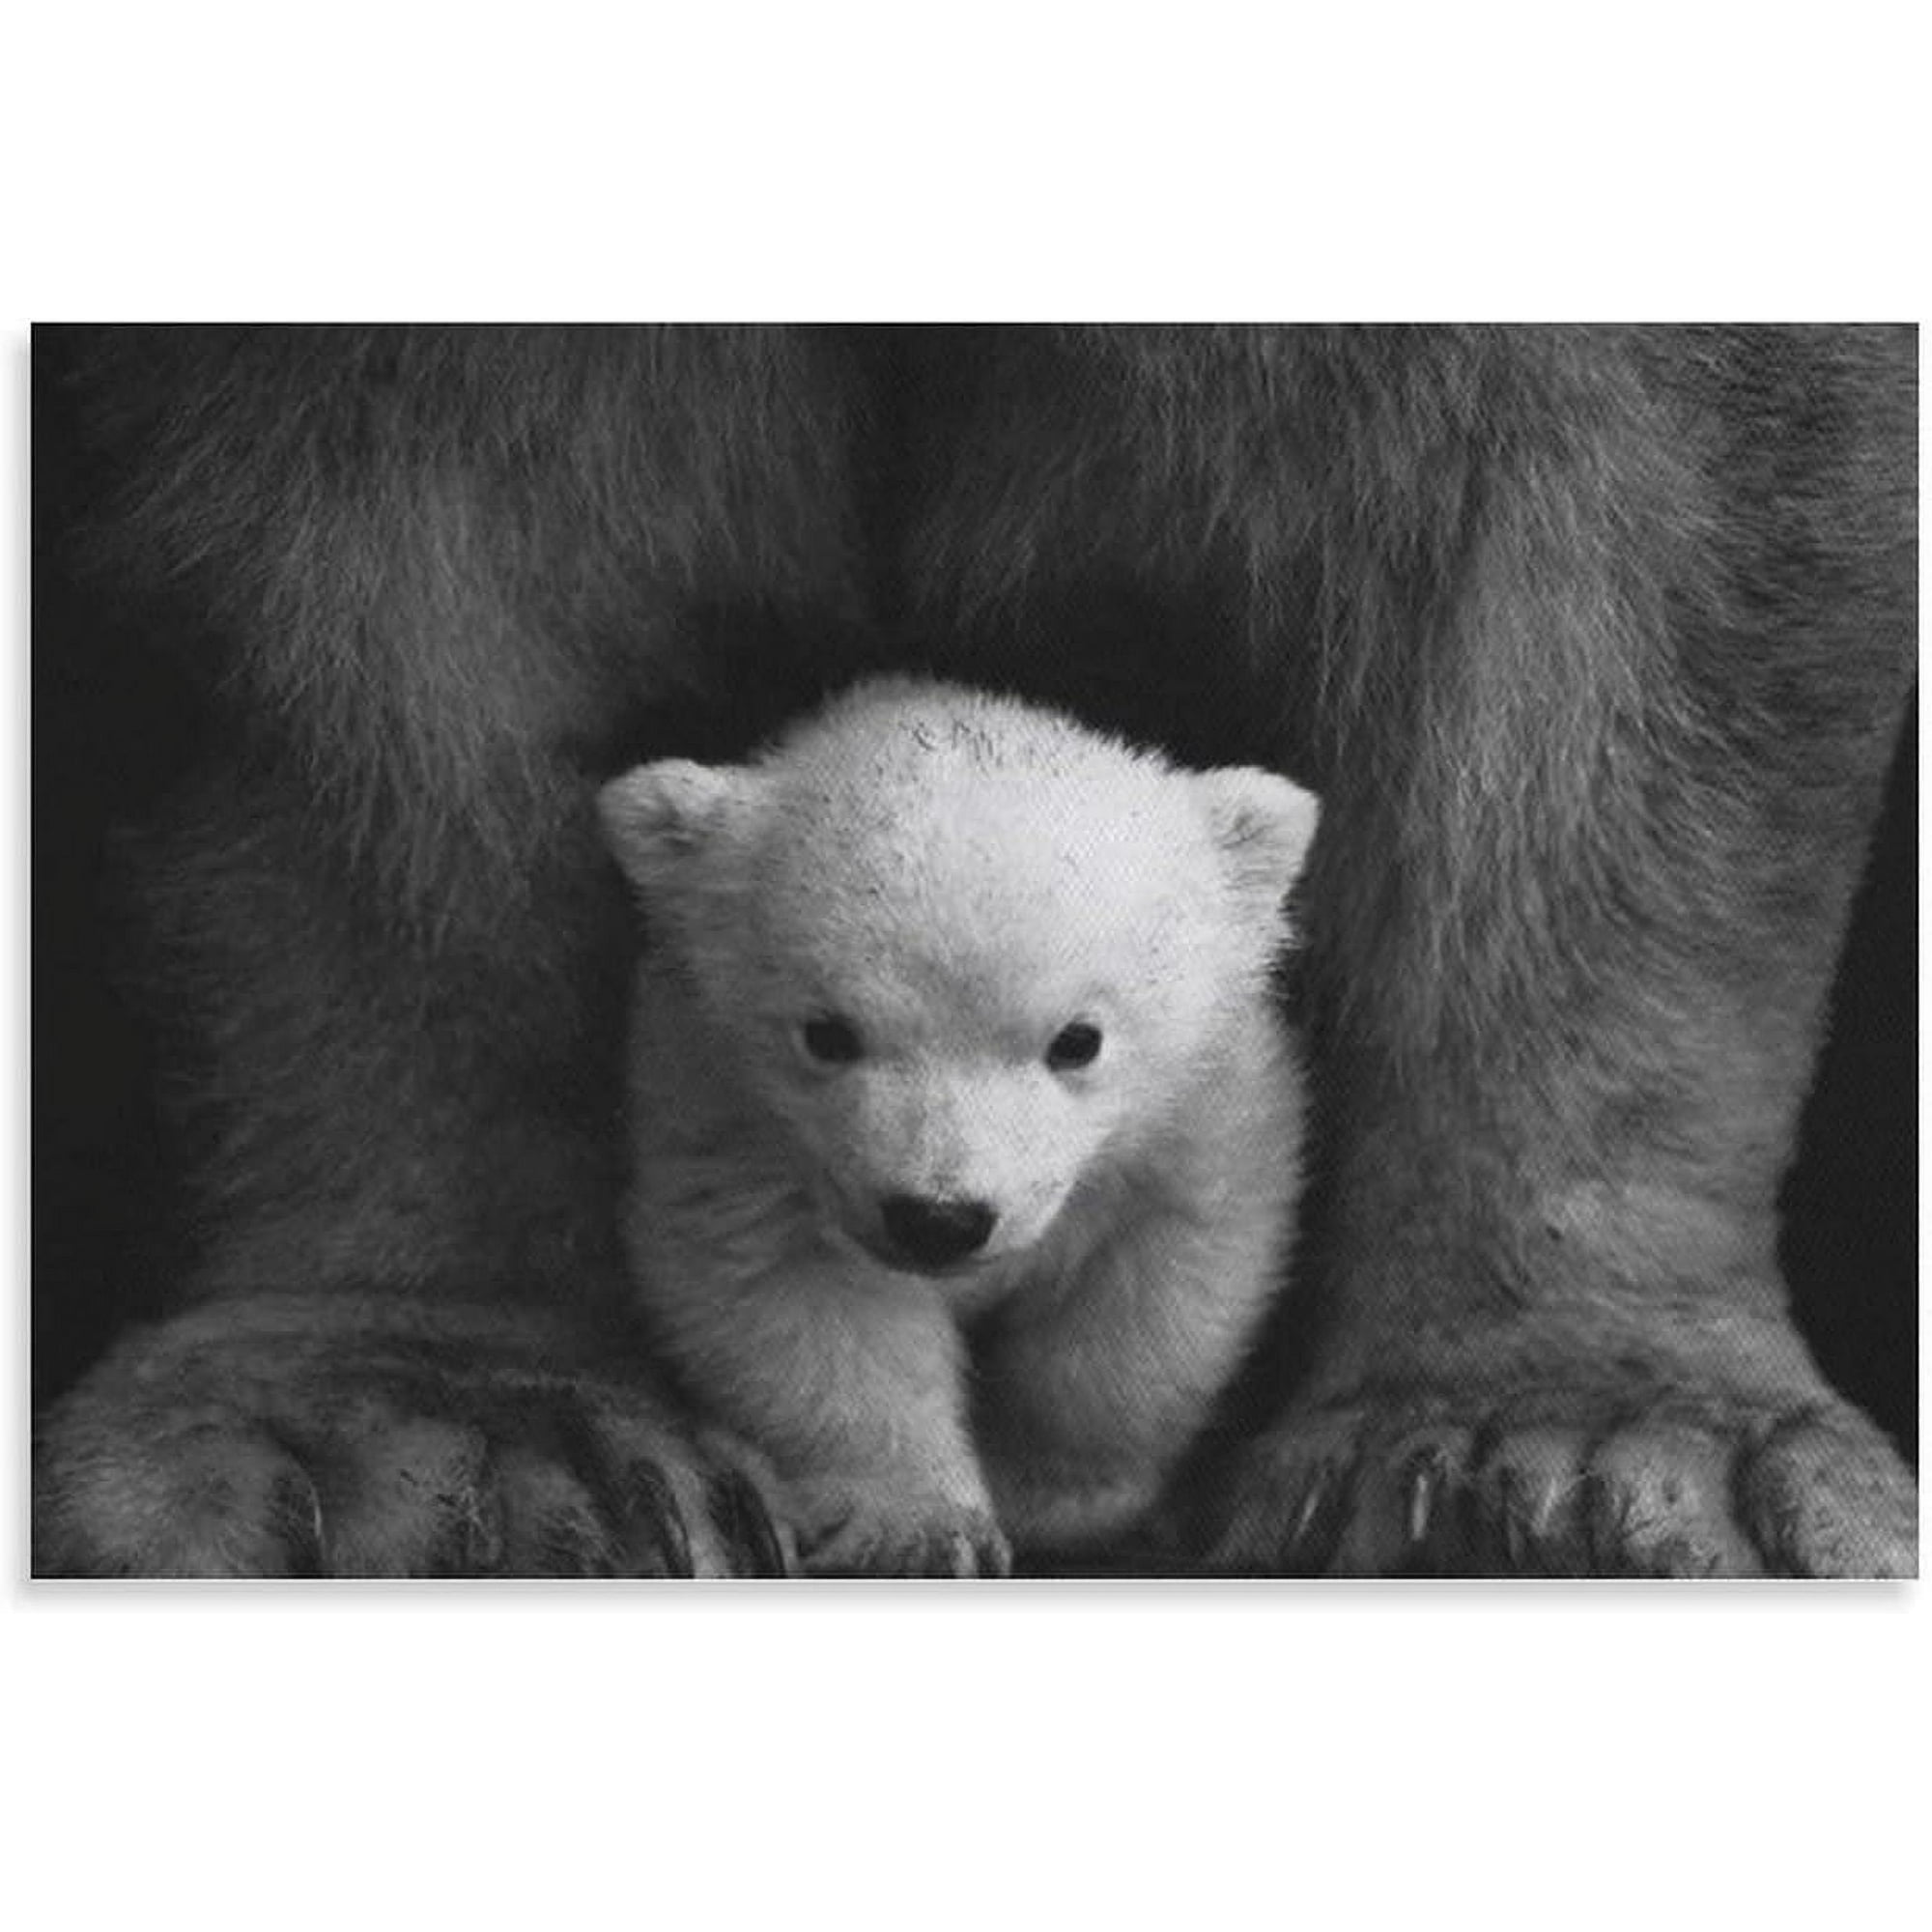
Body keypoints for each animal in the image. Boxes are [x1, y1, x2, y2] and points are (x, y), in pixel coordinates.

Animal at [597, 678, 1319, 1576]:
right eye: (826, 1034)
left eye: (1078, 1040)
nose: (940, 1220)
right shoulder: (723, 1115)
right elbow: (798, 1300)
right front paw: (920, 1528)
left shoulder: (1201, 1116)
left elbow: (1153, 1295)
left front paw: (1052, 1491)